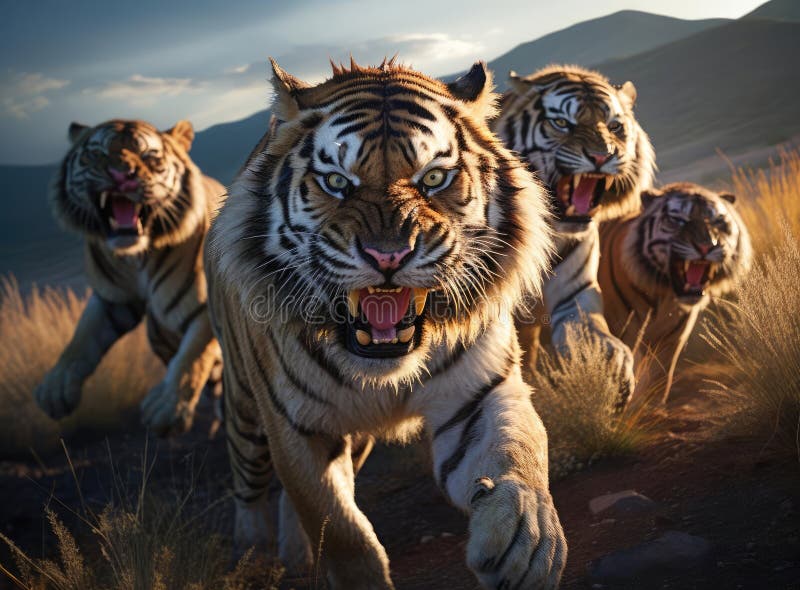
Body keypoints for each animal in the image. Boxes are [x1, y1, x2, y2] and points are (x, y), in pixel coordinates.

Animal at [34, 119, 224, 436]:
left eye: (150, 156)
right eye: (96, 154)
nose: (121, 175)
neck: (135, 258)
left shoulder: (204, 306)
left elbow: (192, 357)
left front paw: (167, 407)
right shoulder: (112, 300)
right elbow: (82, 338)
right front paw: (56, 388)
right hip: (159, 335)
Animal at [205, 58, 567, 589]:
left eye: (433, 177)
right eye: (337, 183)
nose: (388, 256)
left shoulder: (480, 393)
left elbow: (519, 452)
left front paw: (523, 543)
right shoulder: (296, 429)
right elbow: (340, 531)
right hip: (246, 411)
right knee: (247, 485)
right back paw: (253, 554)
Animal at [492, 64, 656, 403]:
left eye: (615, 126)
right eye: (561, 124)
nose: (602, 156)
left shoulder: (575, 293)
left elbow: (588, 330)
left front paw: (610, 367)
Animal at [598, 182, 752, 401]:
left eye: (717, 221)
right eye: (678, 220)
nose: (707, 246)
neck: (663, 295)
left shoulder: (670, 341)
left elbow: (660, 381)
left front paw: (650, 406)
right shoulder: (618, 335)